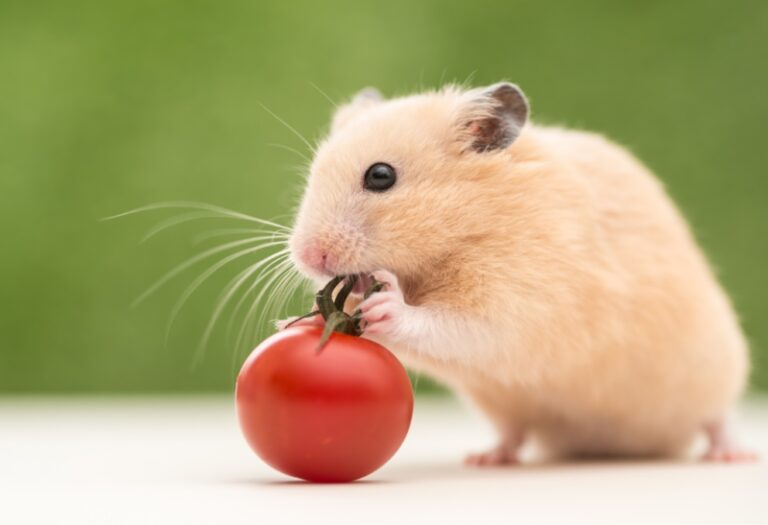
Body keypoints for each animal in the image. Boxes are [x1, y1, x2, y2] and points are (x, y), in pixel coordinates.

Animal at [284, 83, 754, 464]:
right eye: (312, 175)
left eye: (380, 176)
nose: (309, 256)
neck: (467, 228)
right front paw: (300, 317)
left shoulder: (519, 303)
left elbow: (454, 323)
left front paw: (387, 303)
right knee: (514, 433)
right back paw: (486, 458)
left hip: (716, 367)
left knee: (717, 418)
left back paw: (731, 454)